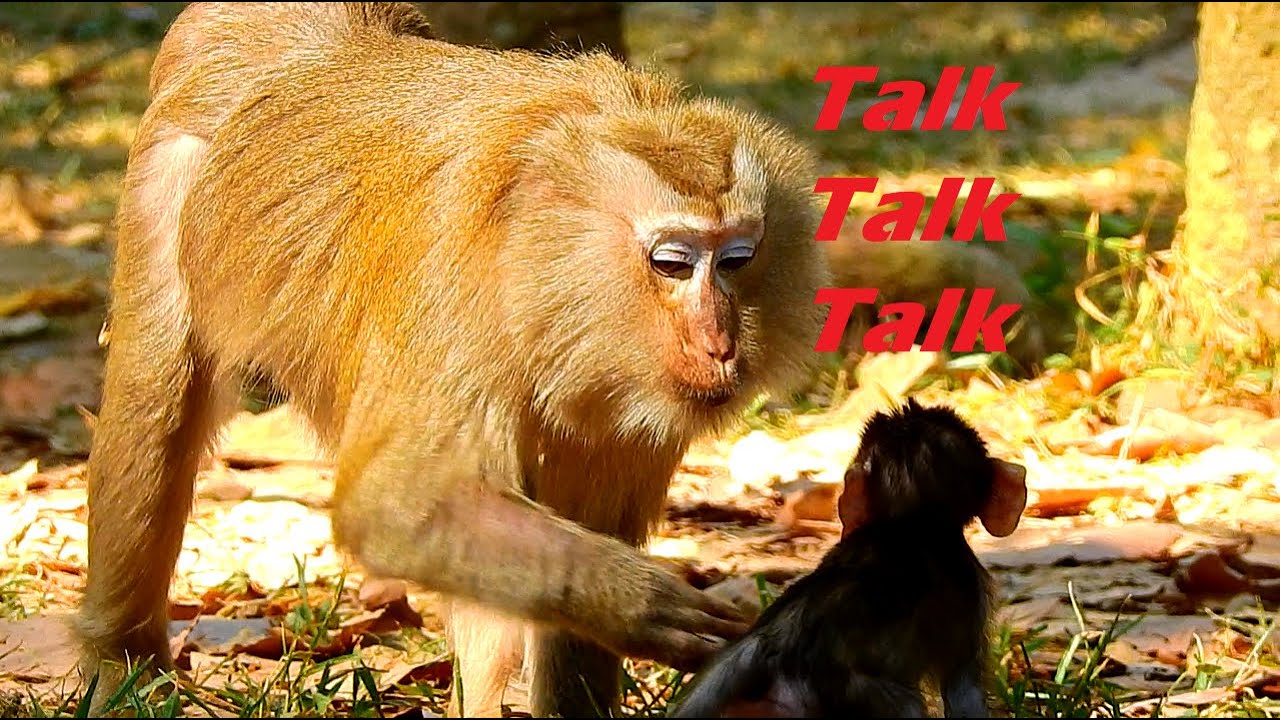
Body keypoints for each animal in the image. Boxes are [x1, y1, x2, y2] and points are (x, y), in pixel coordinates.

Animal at [74, 3, 830, 717]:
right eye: (673, 263)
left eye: (737, 259)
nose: (719, 344)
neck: (542, 253)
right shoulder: (453, 294)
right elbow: (395, 506)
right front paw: (638, 602)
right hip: (166, 172)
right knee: (158, 401)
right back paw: (121, 661)